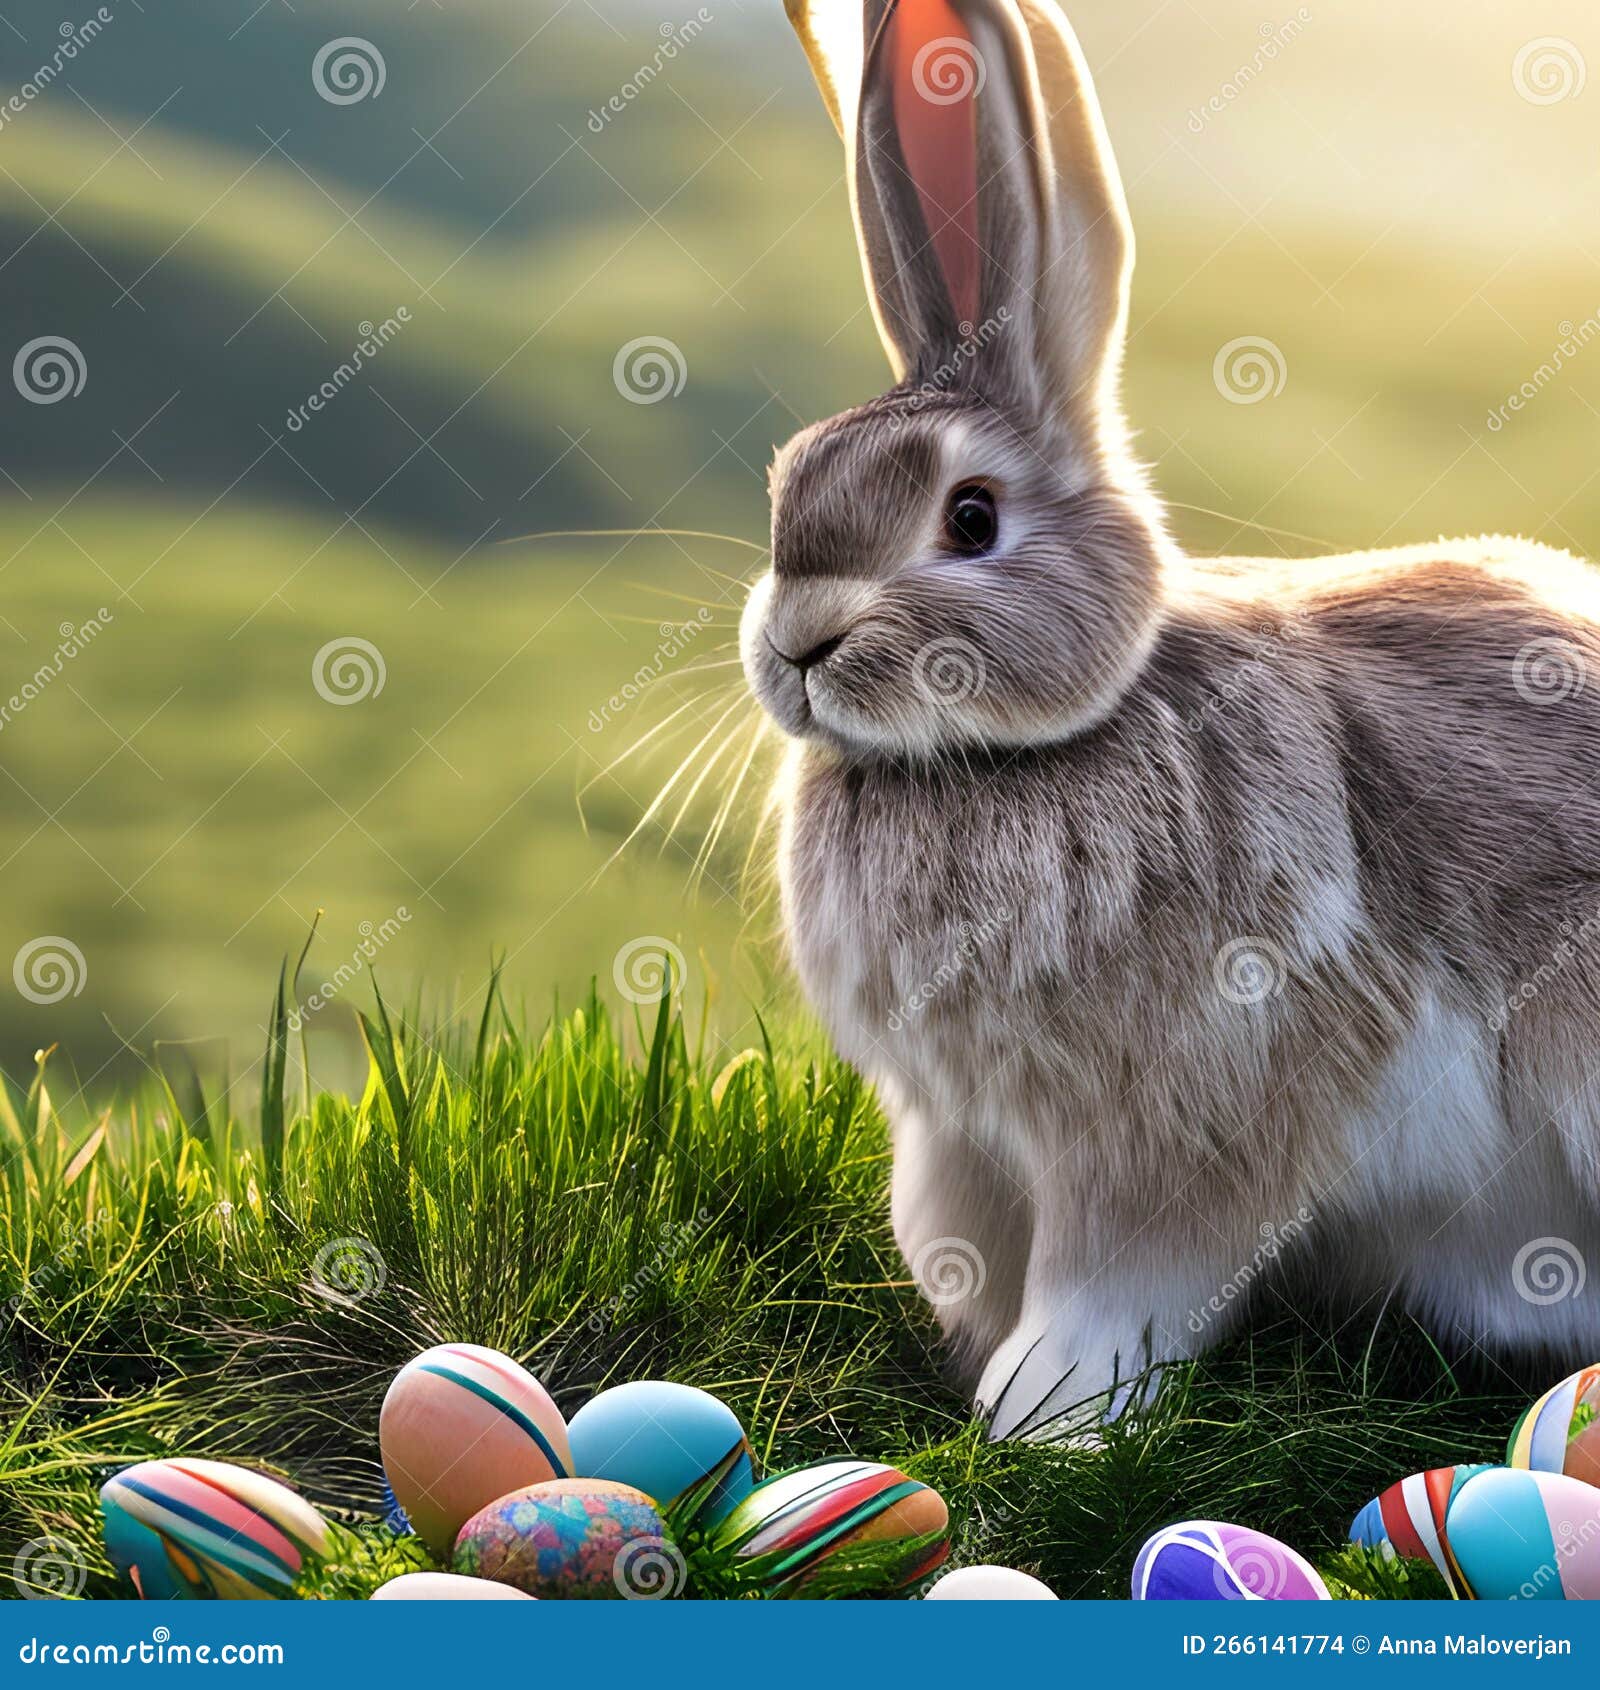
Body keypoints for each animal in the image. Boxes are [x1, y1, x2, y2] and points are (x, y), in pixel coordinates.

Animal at [741, 0, 1600, 1438]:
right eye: (787, 483)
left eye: (968, 517)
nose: (799, 645)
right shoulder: (962, 1135)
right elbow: (964, 1251)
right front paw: (977, 1377)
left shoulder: (1177, 1118)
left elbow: (1116, 1285)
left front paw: (1042, 1417)